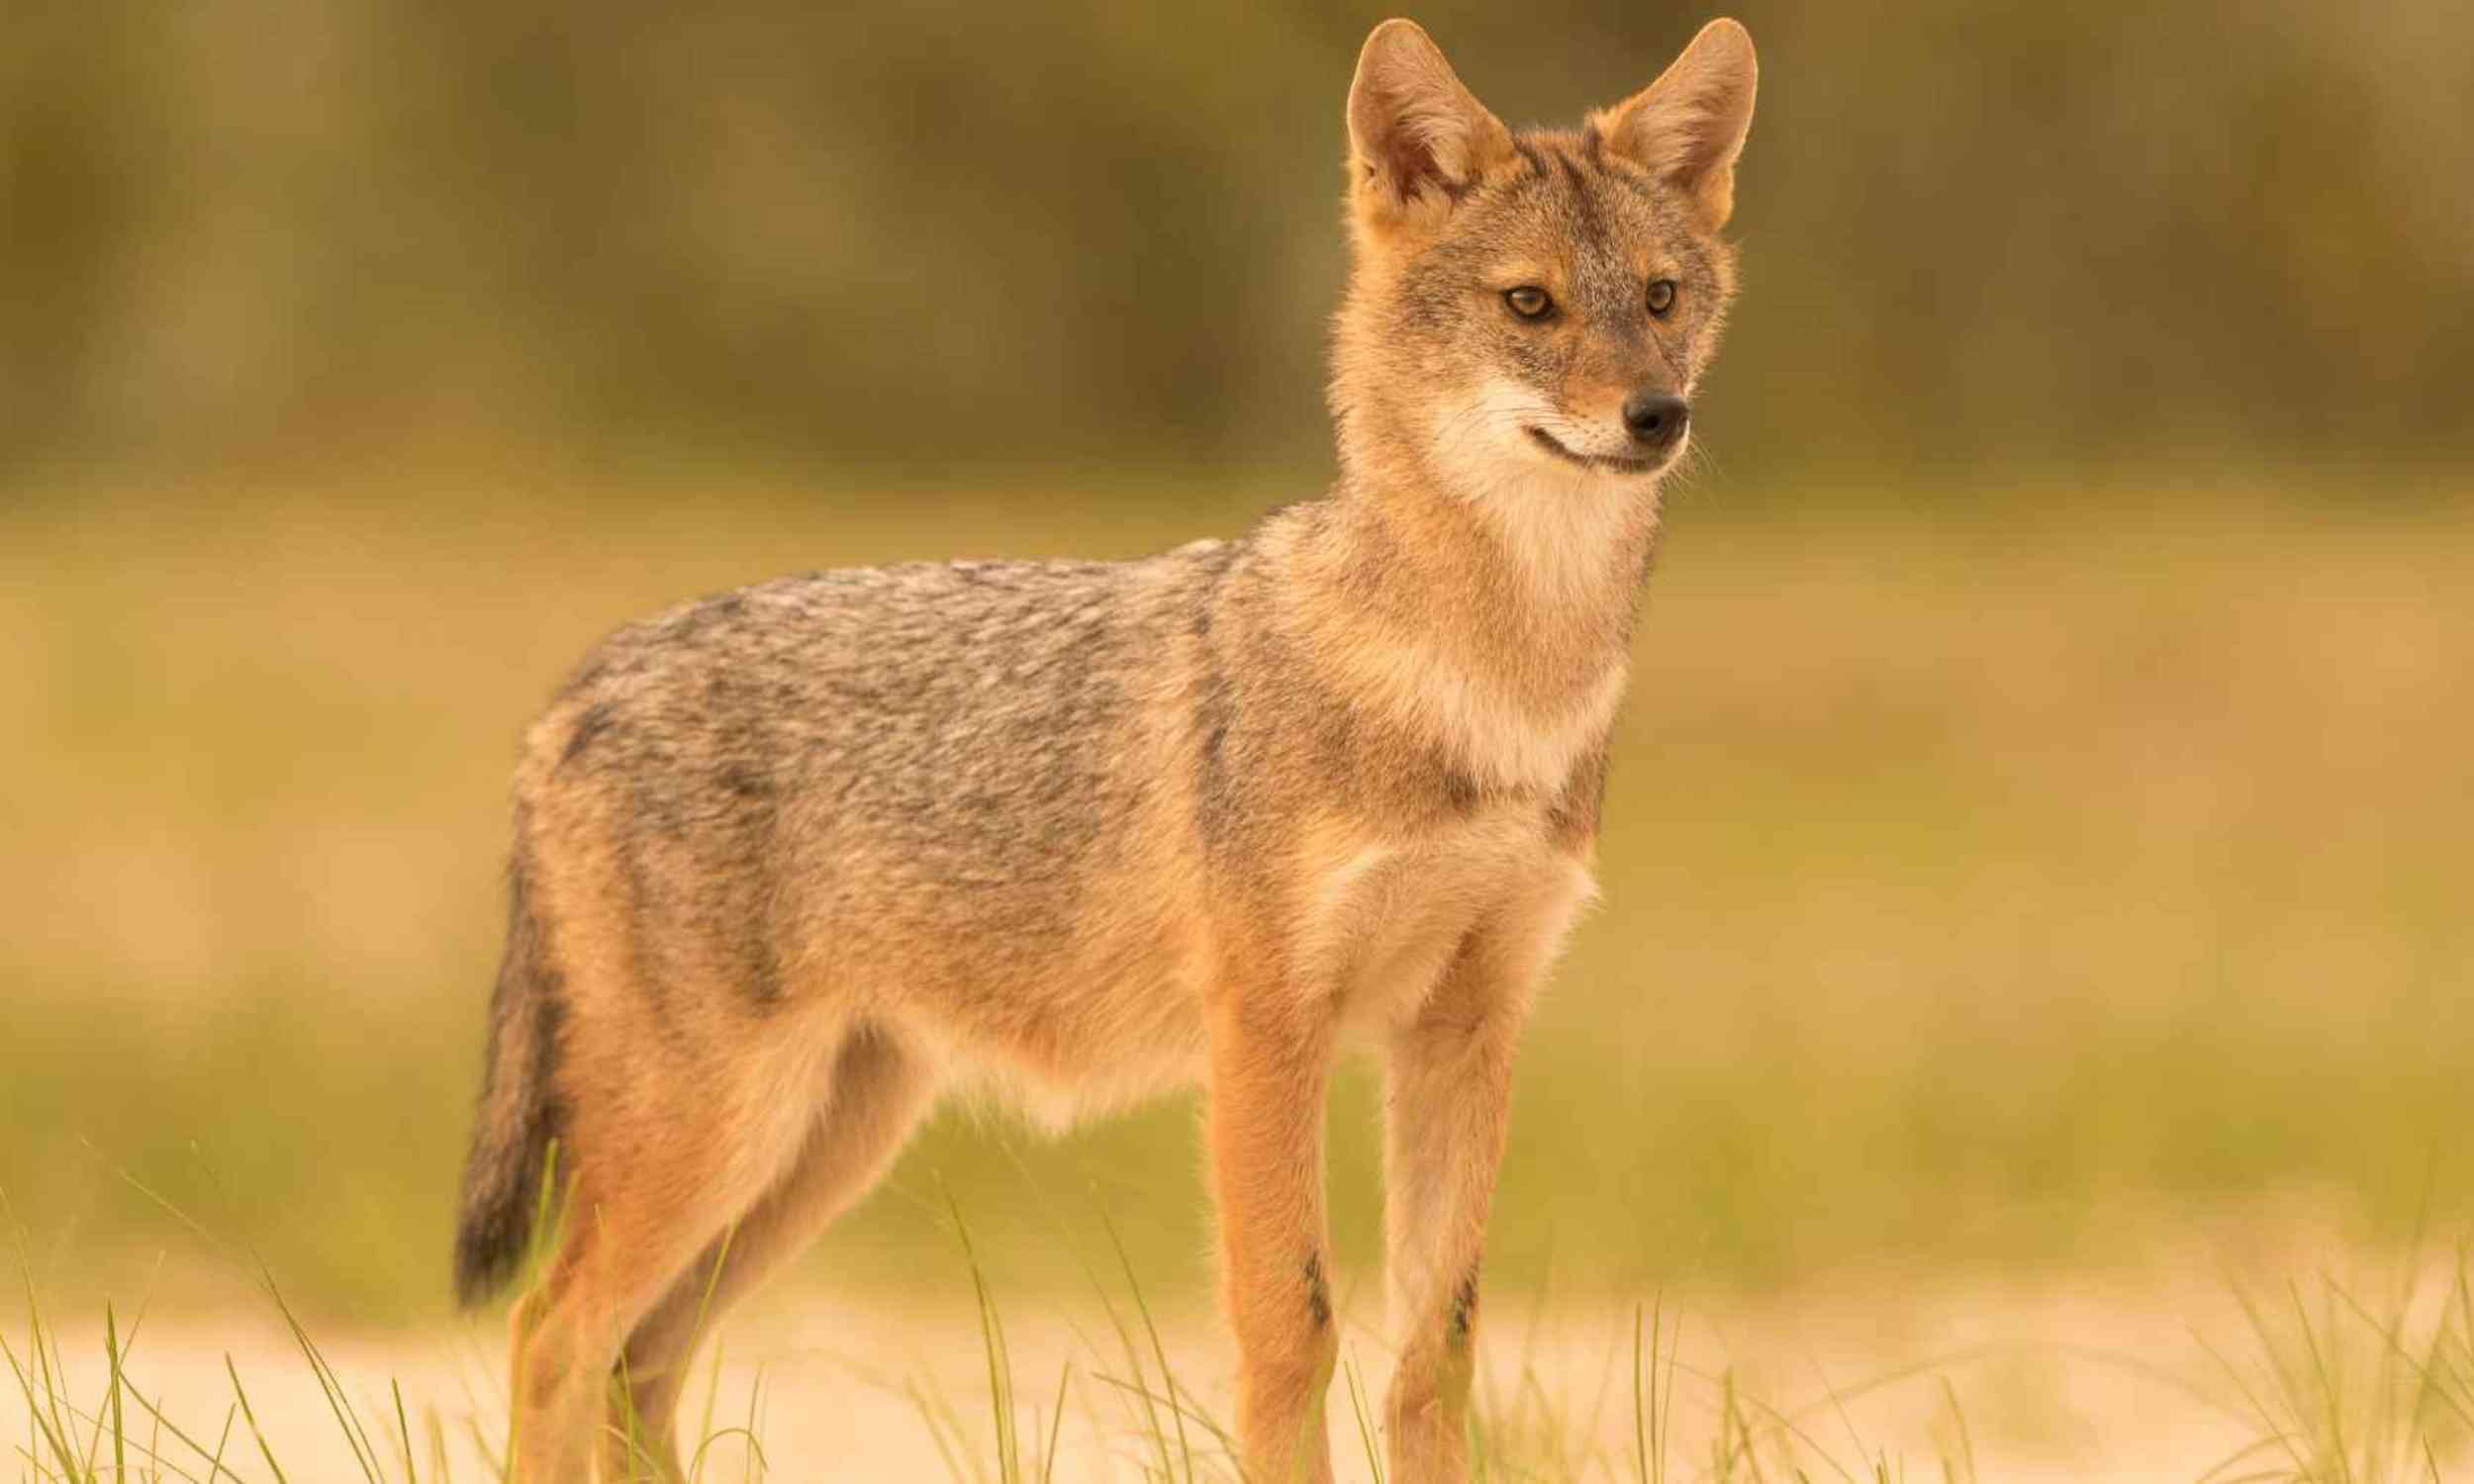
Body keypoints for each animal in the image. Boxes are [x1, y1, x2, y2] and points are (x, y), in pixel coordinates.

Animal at [452, 16, 1756, 1481]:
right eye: (1530, 307)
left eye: (1658, 298)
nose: (1658, 416)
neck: (1488, 691)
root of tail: (573, 693)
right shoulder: (1266, 1033)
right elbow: (1292, 1330)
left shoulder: (1468, 1029)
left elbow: (1438, 1349)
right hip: (720, 1138)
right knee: (552, 1335)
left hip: (816, 1147)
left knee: (640, 1362)